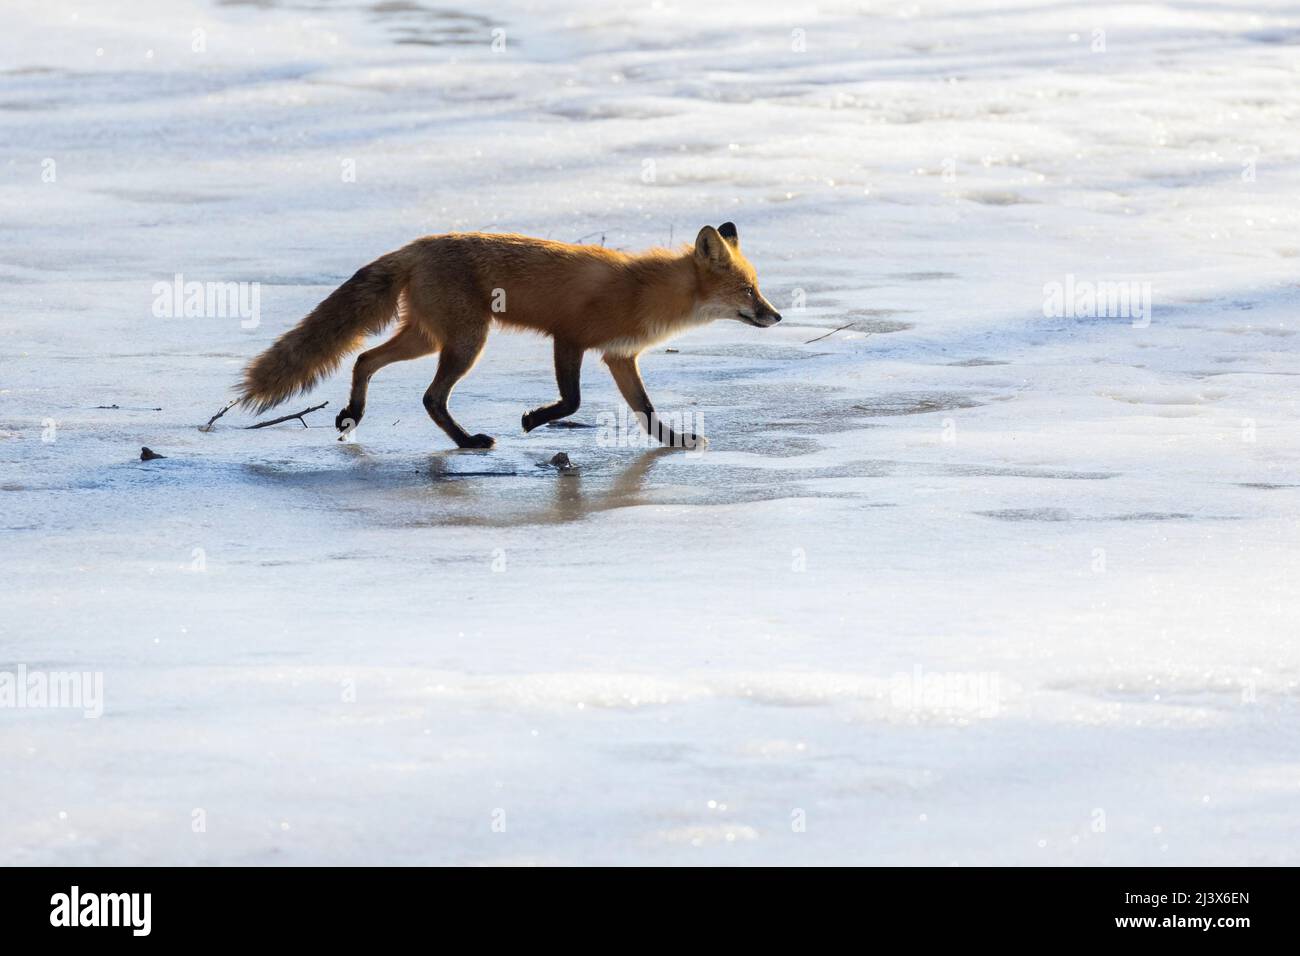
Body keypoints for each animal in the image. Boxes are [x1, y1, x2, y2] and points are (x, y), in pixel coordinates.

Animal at [238, 222, 782, 450]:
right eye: (749, 290)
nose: (776, 315)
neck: (645, 290)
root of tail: (415, 245)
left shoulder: (619, 358)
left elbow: (646, 413)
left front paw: (676, 440)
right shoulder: (570, 338)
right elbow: (572, 402)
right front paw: (532, 420)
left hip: (430, 339)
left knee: (364, 360)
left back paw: (354, 413)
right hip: (466, 342)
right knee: (429, 396)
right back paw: (468, 443)